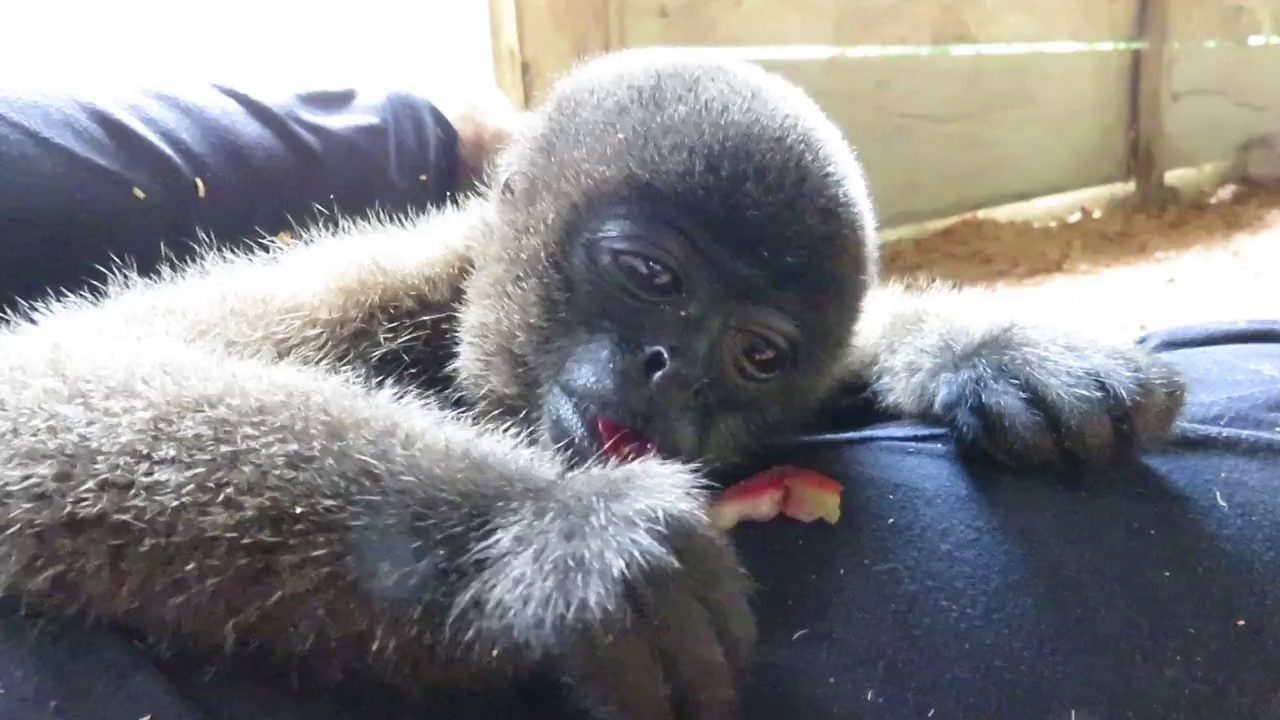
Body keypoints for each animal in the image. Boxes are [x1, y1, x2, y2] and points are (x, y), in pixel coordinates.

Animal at [0, 48, 1184, 719]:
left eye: (756, 355)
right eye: (651, 276)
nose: (675, 372)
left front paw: (997, 346)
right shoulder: (385, 283)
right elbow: (43, 385)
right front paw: (551, 532)